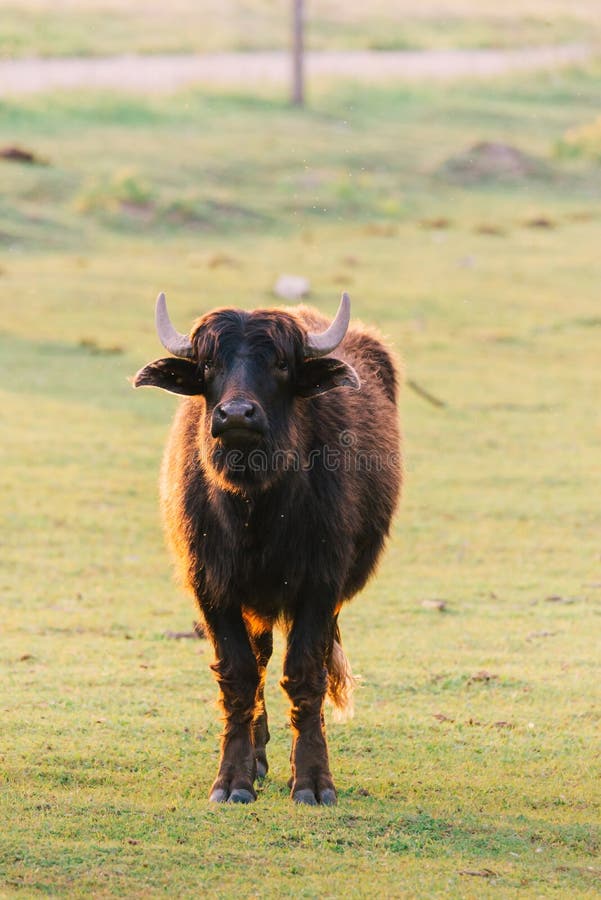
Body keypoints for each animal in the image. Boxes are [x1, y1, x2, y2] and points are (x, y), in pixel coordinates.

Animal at [134, 291, 401, 805]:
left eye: (280, 363)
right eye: (210, 363)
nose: (236, 414)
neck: (254, 510)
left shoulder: (321, 585)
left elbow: (305, 674)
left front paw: (313, 781)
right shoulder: (212, 587)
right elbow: (238, 676)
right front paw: (233, 779)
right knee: (257, 661)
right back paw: (256, 759)